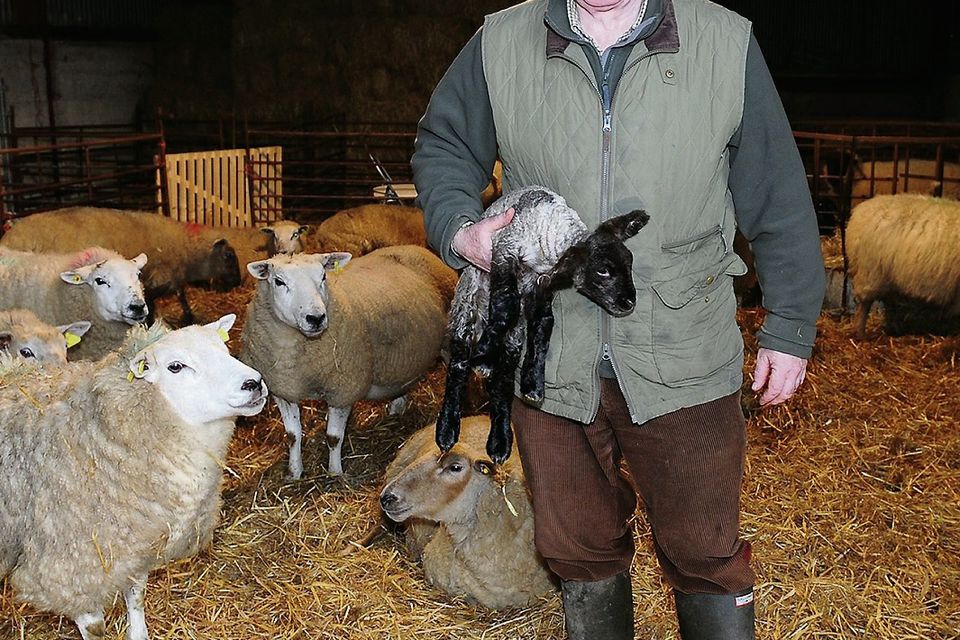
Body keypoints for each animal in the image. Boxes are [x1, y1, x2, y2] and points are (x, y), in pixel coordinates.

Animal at [0, 207, 242, 324]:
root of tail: (9, 237)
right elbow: (169, 296)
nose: (238, 283)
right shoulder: (161, 276)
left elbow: (179, 295)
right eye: (229, 255)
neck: (187, 250)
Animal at [0, 315, 267, 640]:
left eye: (224, 348)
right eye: (176, 366)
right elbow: (94, 627)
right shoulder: (74, 565)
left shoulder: (137, 539)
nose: (253, 383)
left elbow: (136, 594)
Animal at [239, 245, 458, 478]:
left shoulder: (343, 390)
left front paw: (335, 473)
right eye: (279, 281)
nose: (316, 318)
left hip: (449, 346)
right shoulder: (283, 390)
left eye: (323, 277)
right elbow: (292, 436)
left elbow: (334, 438)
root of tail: (418, 248)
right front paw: (295, 472)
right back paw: (396, 410)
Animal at [437, 186, 649, 464]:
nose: (629, 302)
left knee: (503, 382)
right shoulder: (504, 251)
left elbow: (542, 329)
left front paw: (533, 383)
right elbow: (505, 306)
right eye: (603, 271)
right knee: (459, 363)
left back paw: (499, 443)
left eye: (630, 263)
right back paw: (447, 429)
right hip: (467, 302)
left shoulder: (539, 286)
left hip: (514, 336)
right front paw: (484, 355)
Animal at [846, 194, 960, 338]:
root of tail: (859, 212)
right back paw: (861, 334)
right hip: (871, 273)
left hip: (889, 278)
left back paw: (894, 329)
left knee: (888, 302)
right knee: (864, 304)